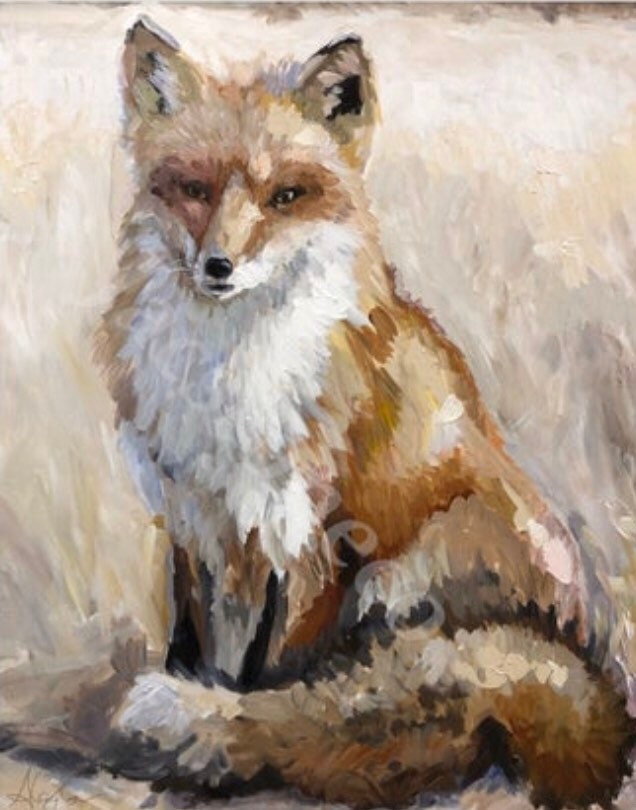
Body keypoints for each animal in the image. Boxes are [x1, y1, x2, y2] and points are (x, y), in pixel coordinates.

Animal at [2, 16, 634, 810]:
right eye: (194, 188)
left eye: (287, 195)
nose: (218, 267)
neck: (228, 370)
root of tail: (589, 671)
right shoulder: (193, 515)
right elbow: (194, 646)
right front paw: (191, 714)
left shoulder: (311, 533)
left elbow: (277, 674)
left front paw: (218, 746)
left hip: (403, 571)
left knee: (419, 738)